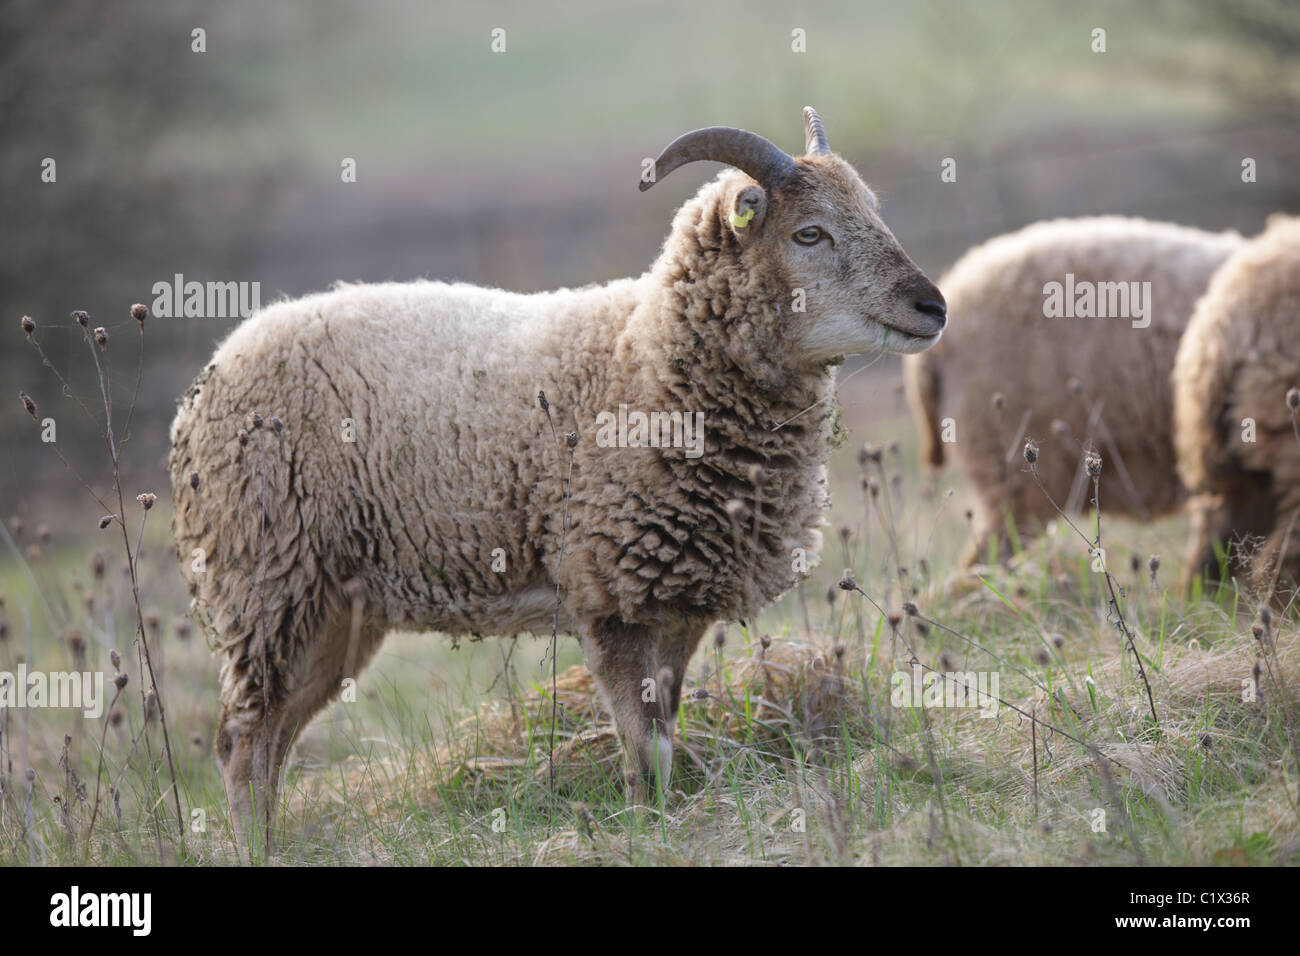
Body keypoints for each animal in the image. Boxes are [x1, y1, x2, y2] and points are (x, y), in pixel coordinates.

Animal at [168, 107, 947, 838]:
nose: (932, 305)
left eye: (871, 211)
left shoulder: (679, 604)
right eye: (809, 234)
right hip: (268, 581)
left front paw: (657, 821)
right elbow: (647, 750)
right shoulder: (609, 596)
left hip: (332, 608)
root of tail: (209, 376)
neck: (640, 355)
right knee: (242, 744)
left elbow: (665, 734)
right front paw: (650, 829)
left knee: (273, 741)